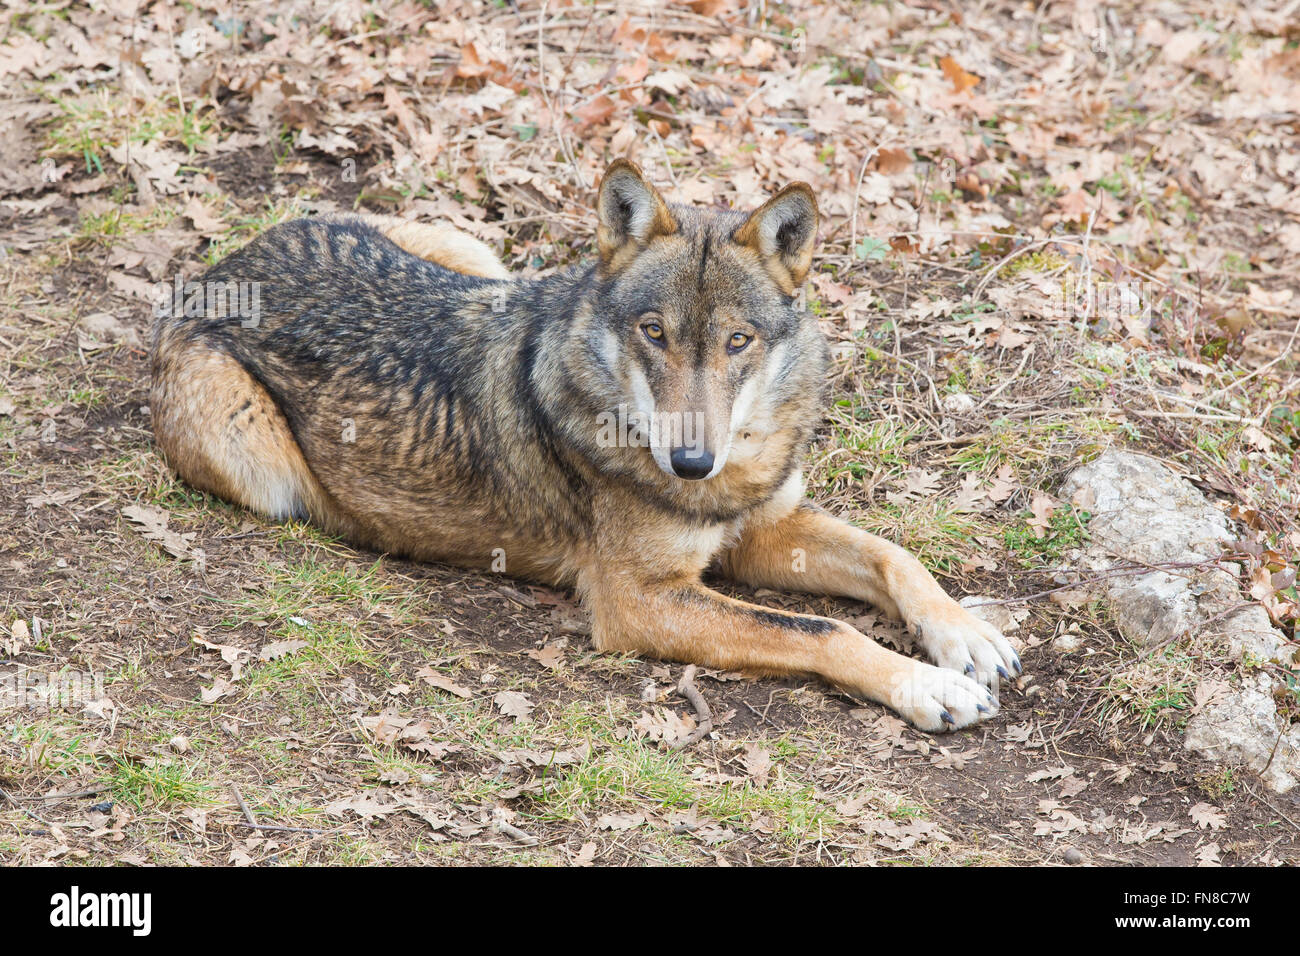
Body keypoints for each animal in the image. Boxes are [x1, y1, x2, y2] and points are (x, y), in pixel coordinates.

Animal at [150, 158, 1021, 731]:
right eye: (654, 333)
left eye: (737, 341)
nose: (690, 463)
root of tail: (225, 269)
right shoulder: (638, 601)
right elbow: (824, 629)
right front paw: (929, 688)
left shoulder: (759, 529)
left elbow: (893, 557)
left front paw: (966, 636)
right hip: (262, 466)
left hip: (479, 256)